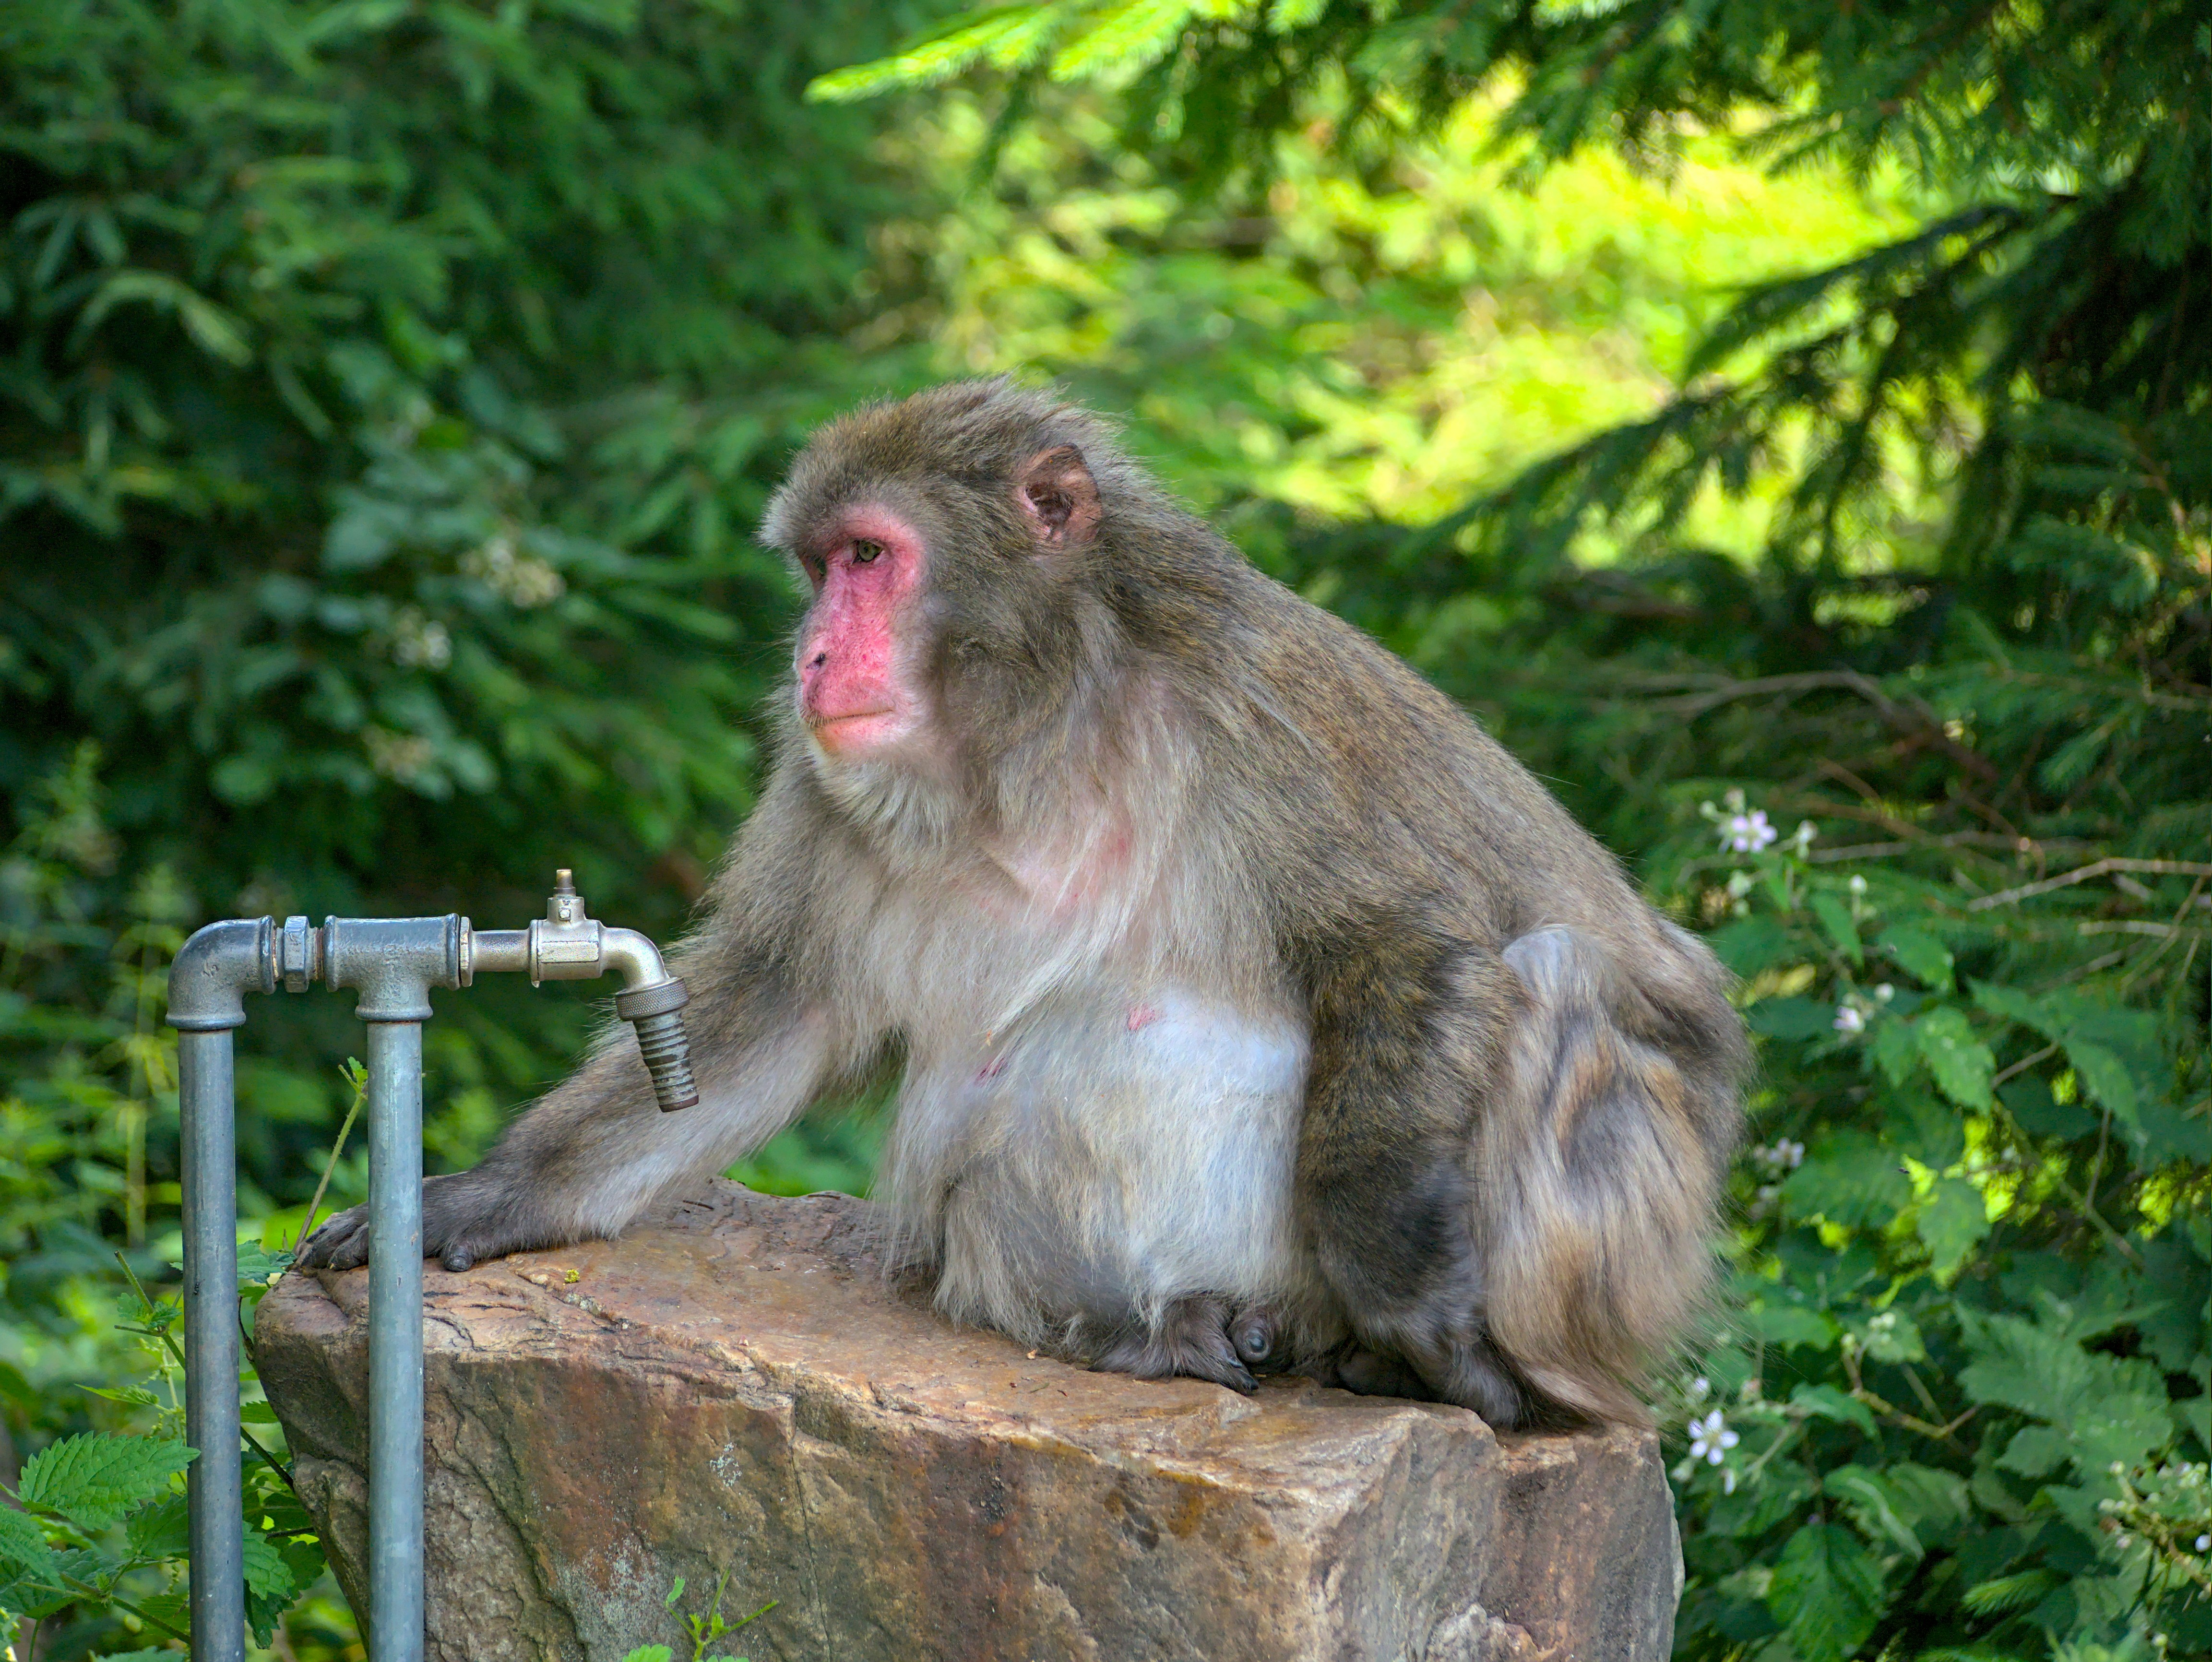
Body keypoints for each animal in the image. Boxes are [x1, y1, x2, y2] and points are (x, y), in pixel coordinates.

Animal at [301, 378, 1746, 1429]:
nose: (810, 655)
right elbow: (771, 1003)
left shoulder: (1258, 709)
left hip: (1628, 1272)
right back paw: (1154, 1333)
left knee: (1555, 976)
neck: (1042, 720)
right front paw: (486, 1198)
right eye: (815, 571)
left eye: (869, 557)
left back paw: (1435, 1366)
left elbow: (1414, 945)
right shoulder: (825, 781)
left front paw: (1412, 1310)